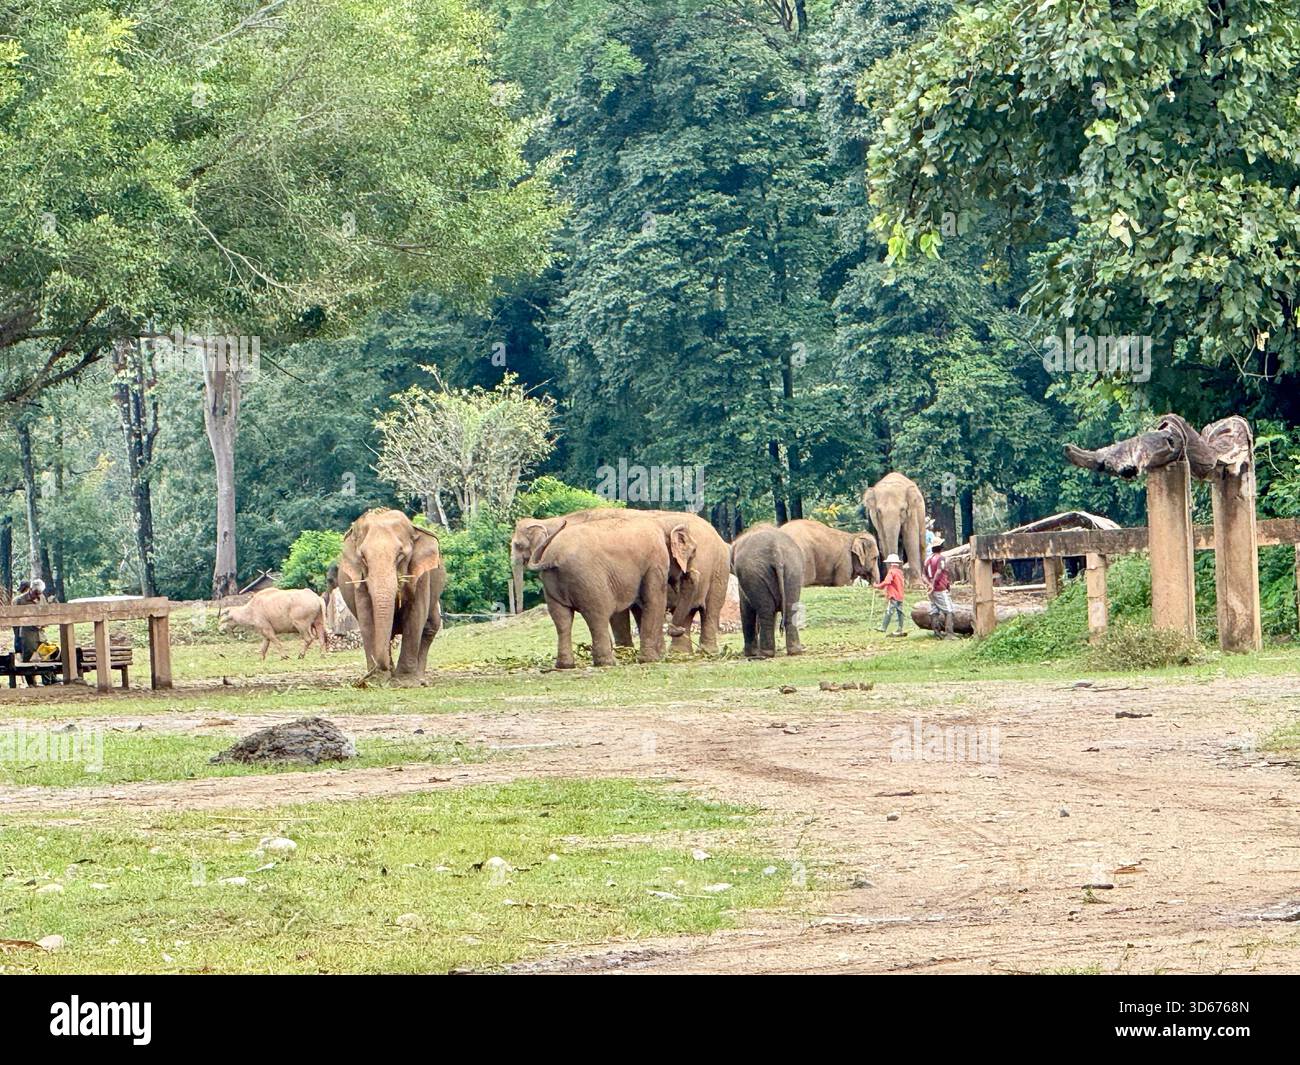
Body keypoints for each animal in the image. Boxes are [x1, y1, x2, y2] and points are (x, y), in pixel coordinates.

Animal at [338, 509, 445, 684]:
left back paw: (419, 679)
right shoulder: (359, 579)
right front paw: (378, 680)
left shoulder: (421, 574)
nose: (361, 681)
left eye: (400, 555)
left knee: (430, 625)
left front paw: (405, 682)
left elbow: (416, 615)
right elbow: (367, 618)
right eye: (363, 558)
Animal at [510, 508, 728, 654]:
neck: (553, 522)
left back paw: (706, 652)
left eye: (517, 545)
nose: (692, 572)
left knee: (711, 609)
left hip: (720, 571)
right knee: (690, 612)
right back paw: (681, 652)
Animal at [730, 524, 805, 658]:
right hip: (793, 569)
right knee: (790, 609)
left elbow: (746, 608)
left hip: (756, 574)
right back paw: (795, 652)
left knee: (766, 612)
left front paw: (749, 654)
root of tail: (776, 552)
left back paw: (764, 654)